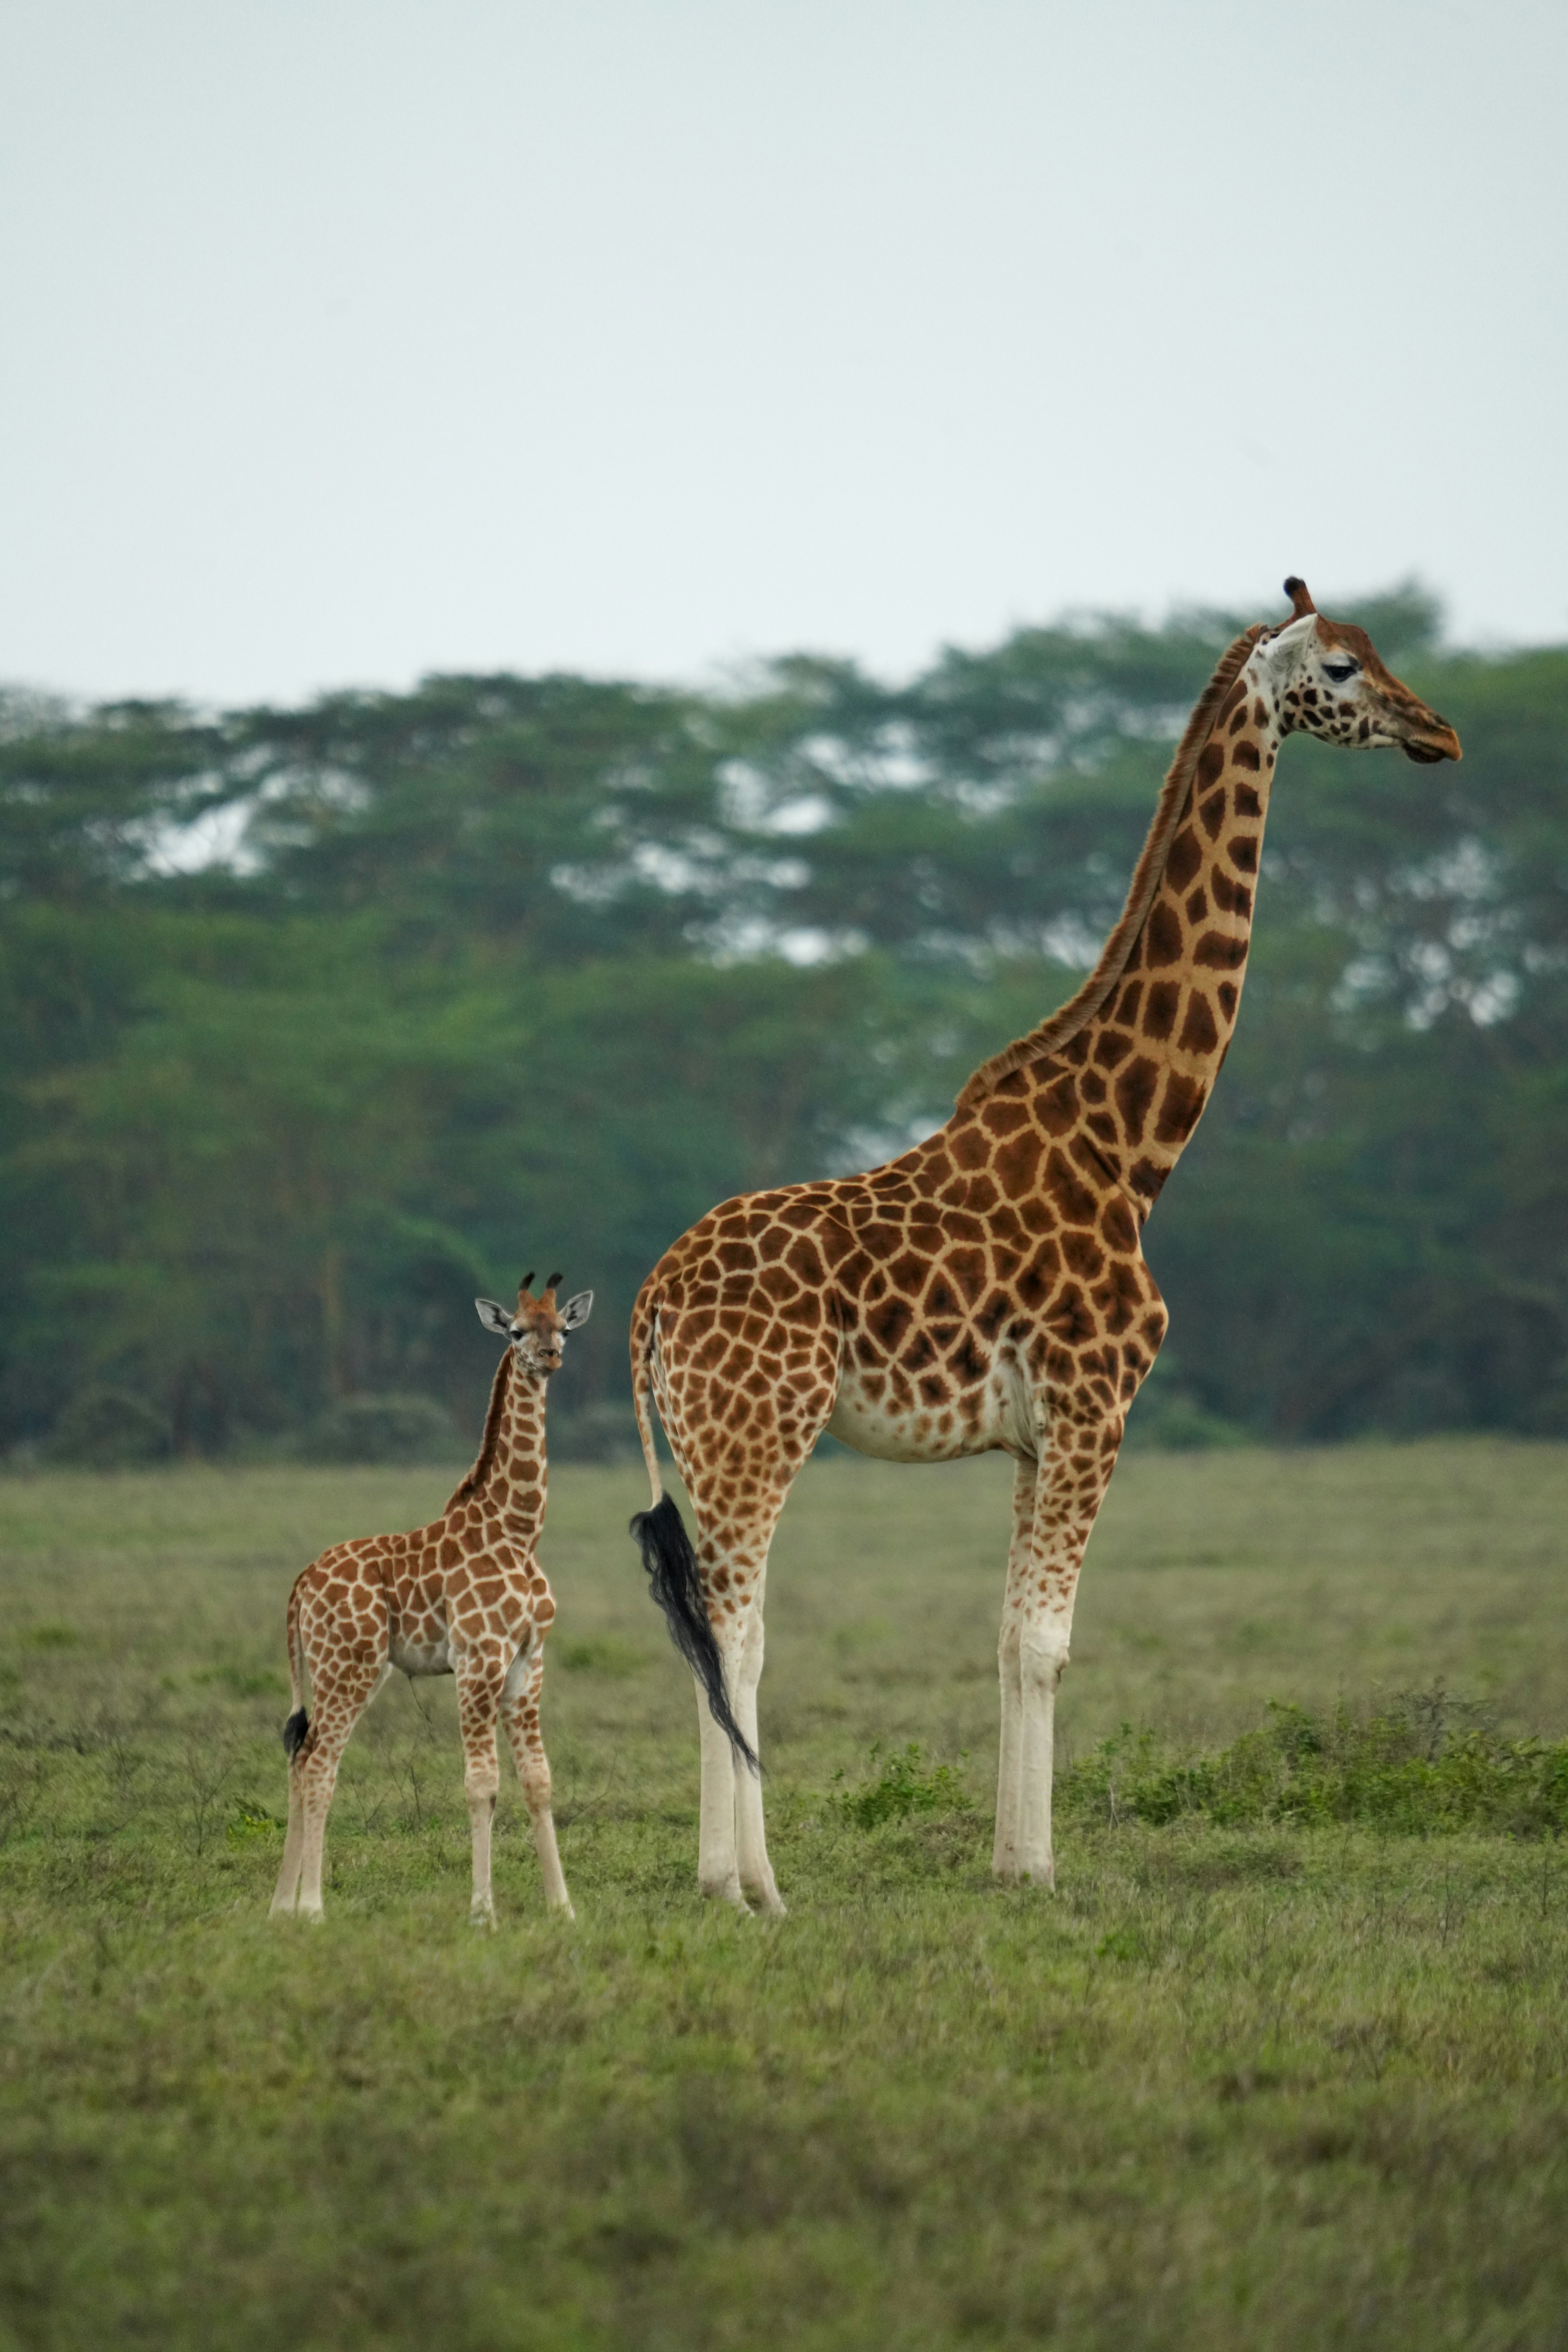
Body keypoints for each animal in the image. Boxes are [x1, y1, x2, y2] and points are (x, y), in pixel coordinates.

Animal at [270, 1273, 592, 1926]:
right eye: (516, 1330)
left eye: (564, 1329)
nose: (549, 1357)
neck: (519, 1531)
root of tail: (301, 1585)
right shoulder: (478, 1658)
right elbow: (482, 1783)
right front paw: (483, 1913)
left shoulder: (529, 1661)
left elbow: (538, 1779)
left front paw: (563, 1907)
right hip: (350, 1666)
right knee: (319, 1763)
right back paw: (312, 1907)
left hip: (342, 1670)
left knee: (300, 1755)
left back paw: (280, 1906)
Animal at [629, 580, 1461, 1911]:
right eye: (1341, 664)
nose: (1439, 731)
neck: (1128, 1141)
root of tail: (652, 1296)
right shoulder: (1095, 1405)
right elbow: (1047, 1640)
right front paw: (1036, 1869)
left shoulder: (1030, 1434)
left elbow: (1007, 1637)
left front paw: (1011, 1858)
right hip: (760, 1427)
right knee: (738, 1625)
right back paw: (744, 1885)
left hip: (706, 1440)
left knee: (713, 1623)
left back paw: (736, 1876)